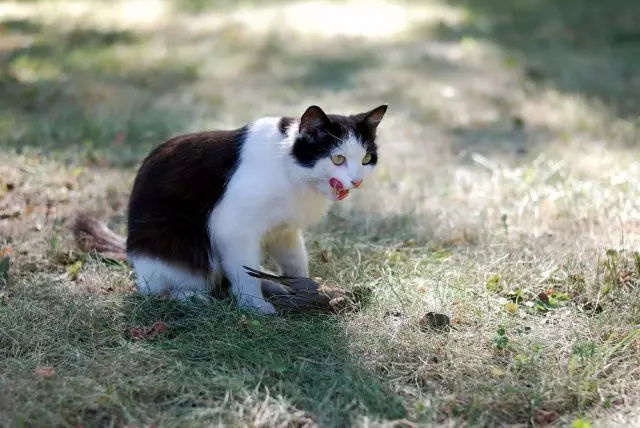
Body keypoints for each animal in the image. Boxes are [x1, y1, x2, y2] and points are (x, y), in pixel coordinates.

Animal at [73, 103, 388, 314]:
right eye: (337, 158)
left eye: (366, 158)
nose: (357, 180)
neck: (291, 168)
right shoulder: (232, 228)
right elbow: (242, 272)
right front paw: (255, 306)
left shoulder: (284, 230)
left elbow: (294, 263)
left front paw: (304, 287)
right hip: (171, 232)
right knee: (162, 288)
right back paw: (191, 296)